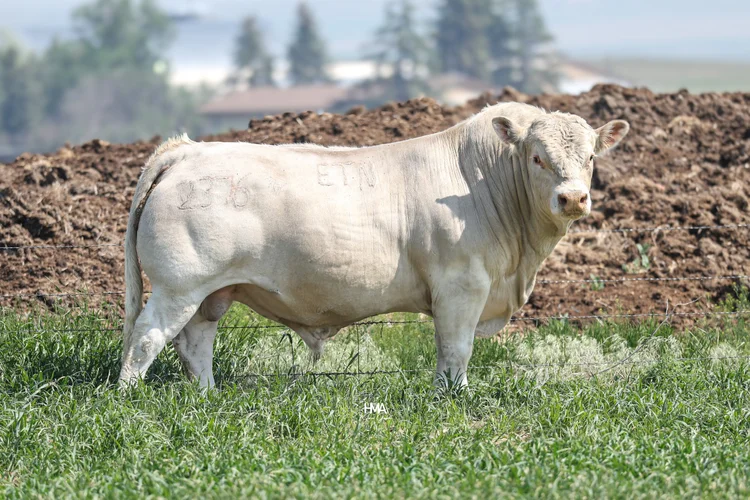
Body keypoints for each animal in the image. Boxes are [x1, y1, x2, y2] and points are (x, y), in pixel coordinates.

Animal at [118, 102, 629, 388]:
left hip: (212, 291)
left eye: (590, 157)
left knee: (194, 342)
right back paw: (128, 397)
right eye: (538, 158)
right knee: (147, 339)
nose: (572, 198)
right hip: (179, 285)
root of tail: (189, 149)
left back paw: (207, 395)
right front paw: (454, 397)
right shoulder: (461, 286)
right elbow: (455, 350)